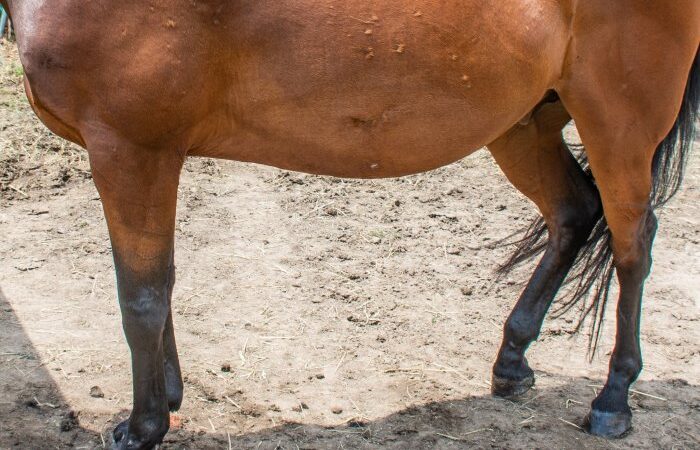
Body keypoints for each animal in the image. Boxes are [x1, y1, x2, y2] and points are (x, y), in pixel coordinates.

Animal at [1, 0, 697, 448]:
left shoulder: (130, 150)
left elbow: (139, 297)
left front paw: (142, 427)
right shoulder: (148, 155)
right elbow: (161, 284)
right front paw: (169, 396)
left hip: (619, 127)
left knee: (633, 247)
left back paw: (612, 401)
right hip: (525, 123)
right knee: (573, 216)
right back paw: (512, 361)